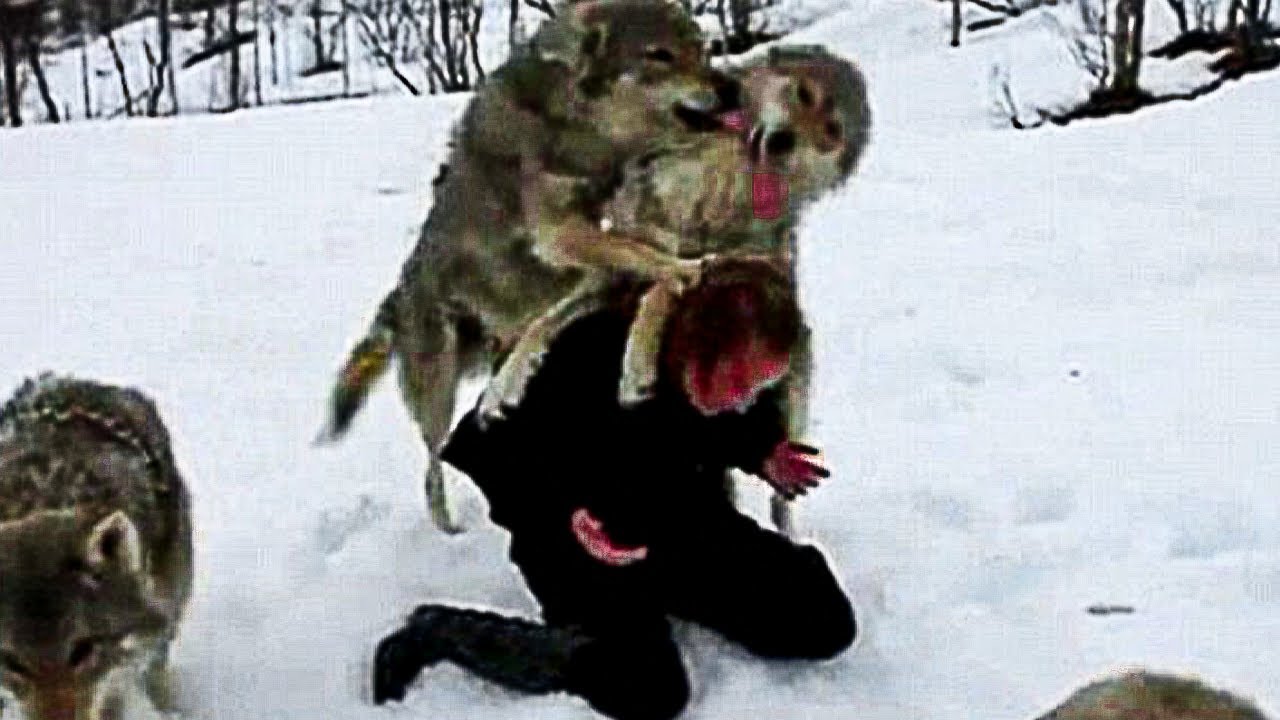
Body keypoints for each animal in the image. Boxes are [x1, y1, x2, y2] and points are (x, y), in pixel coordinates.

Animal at [316, 0, 739, 534]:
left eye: (702, 47)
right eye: (659, 55)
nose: (732, 89)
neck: (585, 129)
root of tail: (399, 295)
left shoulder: (598, 270)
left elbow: (649, 276)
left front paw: (638, 366)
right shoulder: (560, 234)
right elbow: (643, 257)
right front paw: (683, 273)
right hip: (438, 390)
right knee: (431, 469)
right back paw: (451, 532)